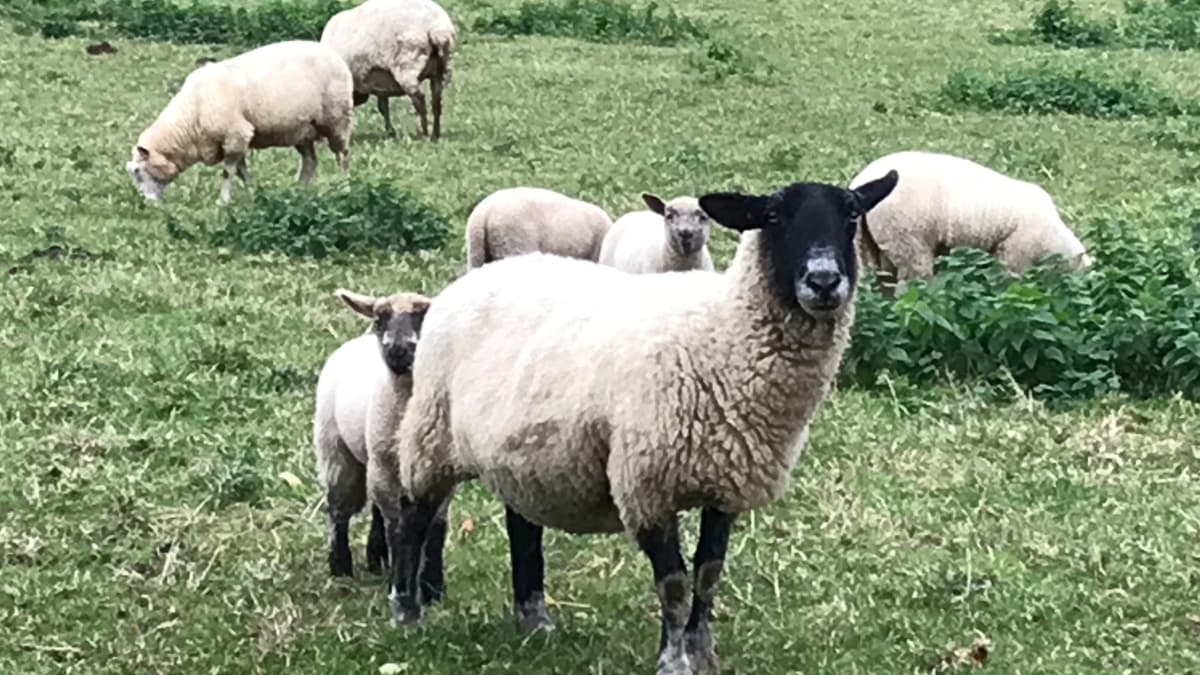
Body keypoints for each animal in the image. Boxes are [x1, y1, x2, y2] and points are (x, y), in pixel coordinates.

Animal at [126, 40, 354, 204]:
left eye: (138, 172)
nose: (148, 203)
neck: (191, 116)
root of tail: (333, 54)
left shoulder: (236, 134)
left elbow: (228, 172)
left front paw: (223, 201)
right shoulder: (235, 140)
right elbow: (241, 172)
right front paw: (252, 192)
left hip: (337, 118)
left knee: (342, 155)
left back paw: (344, 185)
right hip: (302, 129)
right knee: (310, 161)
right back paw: (298, 191)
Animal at [313, 288, 449, 597]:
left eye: (423, 316)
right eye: (379, 320)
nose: (397, 350)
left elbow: (437, 528)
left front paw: (433, 587)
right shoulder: (384, 468)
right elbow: (396, 527)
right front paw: (401, 584)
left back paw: (377, 557)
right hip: (336, 448)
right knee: (339, 508)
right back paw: (341, 566)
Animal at [321, 0, 457, 141]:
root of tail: (437, 30)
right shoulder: (380, 83)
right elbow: (383, 107)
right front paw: (390, 132)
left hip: (407, 64)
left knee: (420, 100)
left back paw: (423, 133)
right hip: (442, 67)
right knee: (436, 101)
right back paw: (435, 134)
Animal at [848, 150, 1091, 297]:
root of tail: (859, 182)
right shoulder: (1019, 243)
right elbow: (1011, 272)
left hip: (871, 235)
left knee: (884, 274)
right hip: (905, 225)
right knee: (914, 270)